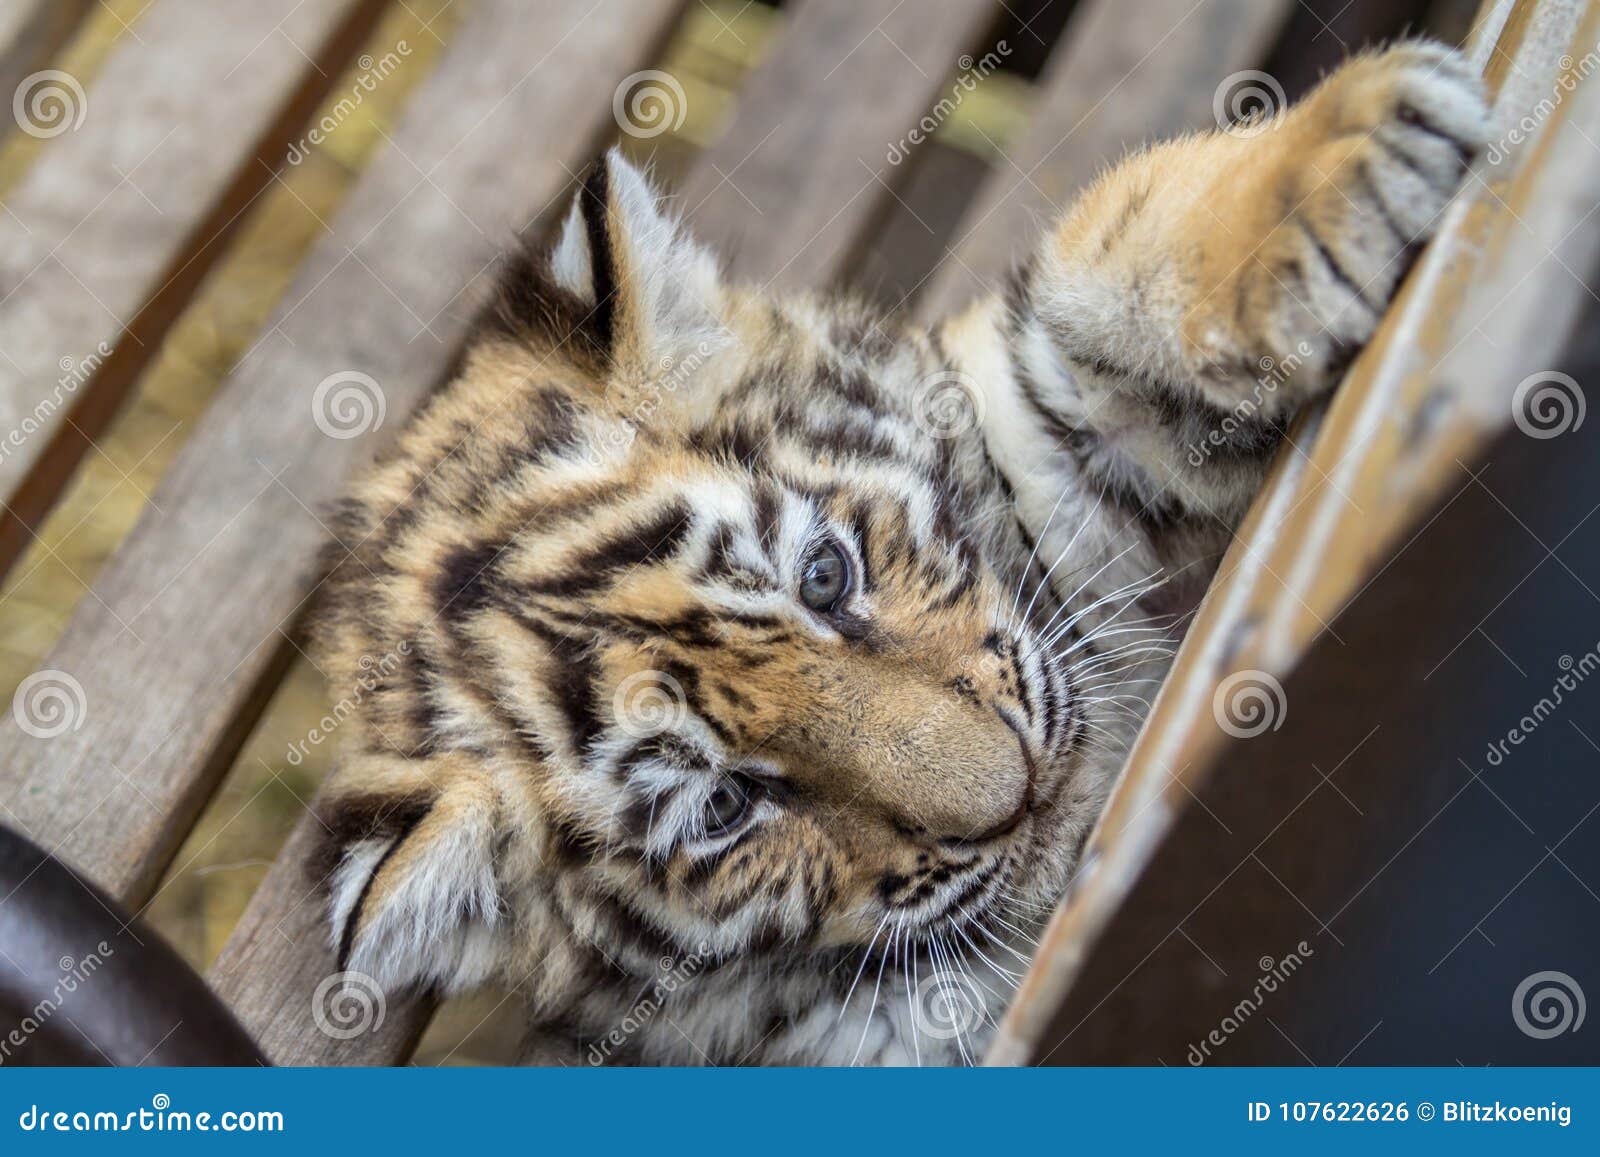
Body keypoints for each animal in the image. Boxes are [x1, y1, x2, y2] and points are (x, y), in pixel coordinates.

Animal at [309, 42, 1489, 1065]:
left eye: (826, 574)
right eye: (726, 807)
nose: (1017, 796)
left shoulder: (1021, 407)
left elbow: (1113, 253)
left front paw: (1364, 142)